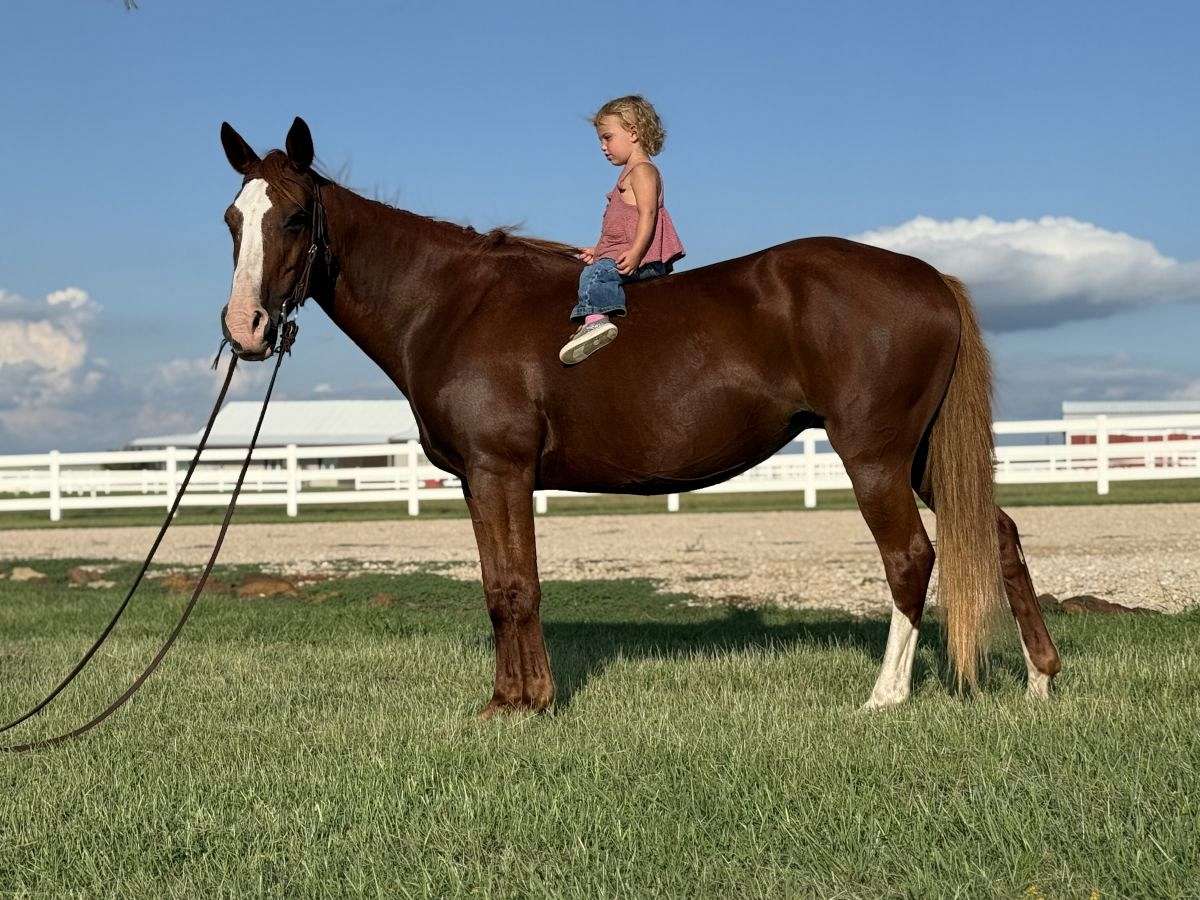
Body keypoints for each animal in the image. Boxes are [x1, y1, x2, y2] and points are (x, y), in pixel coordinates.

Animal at [218, 117, 1061, 716]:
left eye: (294, 218)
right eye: (233, 219)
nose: (246, 329)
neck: (451, 303)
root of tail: (930, 276)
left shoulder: (501, 471)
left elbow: (517, 586)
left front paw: (528, 703)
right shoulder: (477, 480)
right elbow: (497, 586)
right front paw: (507, 699)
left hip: (874, 455)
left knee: (910, 558)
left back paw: (884, 696)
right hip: (921, 457)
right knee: (999, 536)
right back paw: (1041, 679)